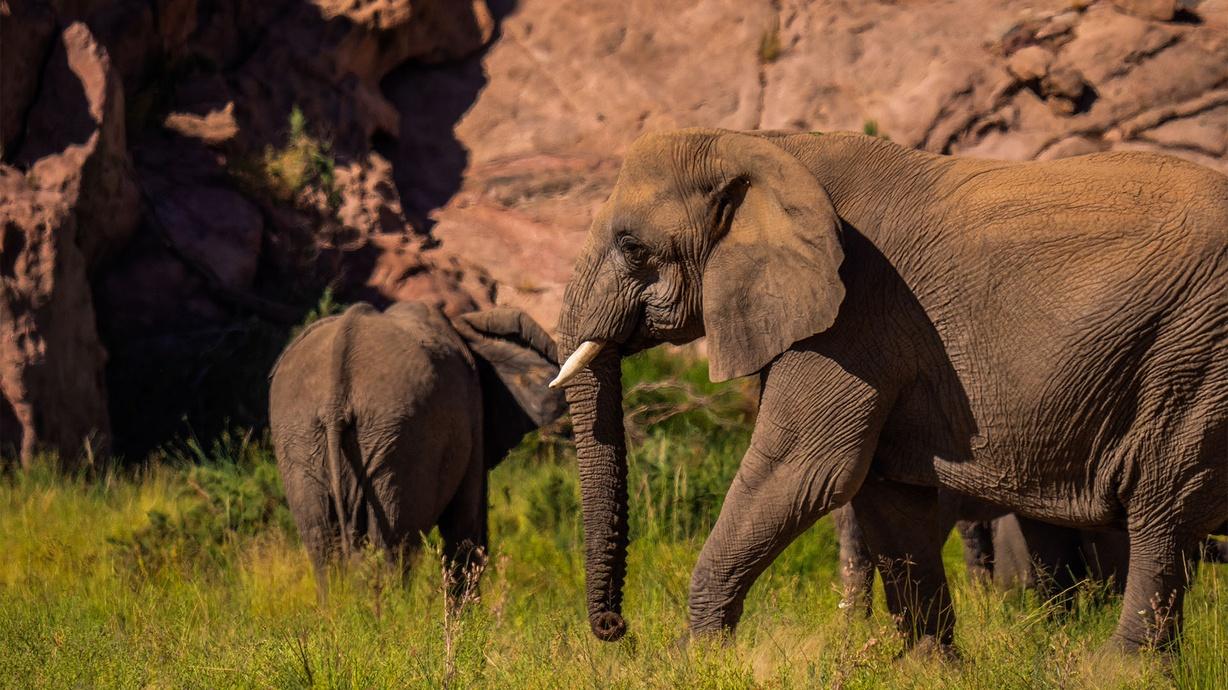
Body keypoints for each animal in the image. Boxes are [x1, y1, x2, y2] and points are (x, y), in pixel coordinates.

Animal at [269, 301, 565, 589]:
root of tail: (335, 400)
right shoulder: (473, 417)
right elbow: (466, 532)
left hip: (305, 438)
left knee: (324, 546)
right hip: (399, 441)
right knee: (391, 546)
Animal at [548, 128, 1227, 652]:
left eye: (633, 247)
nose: (615, 629)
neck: (768, 145)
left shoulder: (857, 314)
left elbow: (802, 471)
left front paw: (693, 662)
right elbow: (887, 494)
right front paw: (932, 669)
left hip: (1195, 355)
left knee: (1162, 507)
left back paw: (1117, 668)